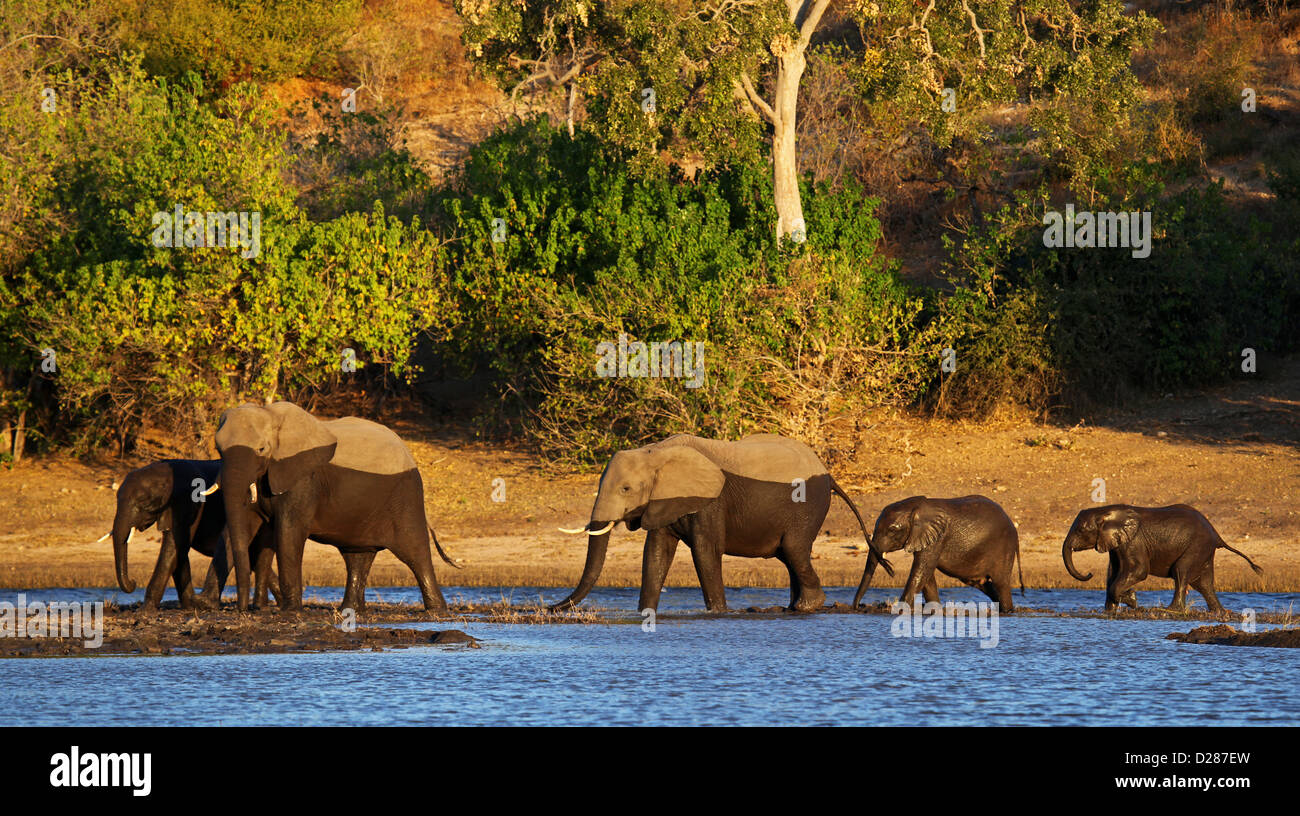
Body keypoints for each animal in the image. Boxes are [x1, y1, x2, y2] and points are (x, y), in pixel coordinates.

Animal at [105, 459, 279, 610]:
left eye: (143, 503)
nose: (133, 582)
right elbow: (178, 550)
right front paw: (189, 606)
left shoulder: (188, 503)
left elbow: (175, 546)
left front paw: (145, 610)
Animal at [212, 401, 458, 612]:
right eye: (218, 450)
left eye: (262, 449)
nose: (242, 609)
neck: (271, 415)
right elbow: (251, 528)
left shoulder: (304, 477)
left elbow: (288, 532)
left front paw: (290, 611)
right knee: (357, 556)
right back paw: (350, 610)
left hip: (405, 494)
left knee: (415, 551)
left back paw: (437, 610)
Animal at [549, 433, 889, 613]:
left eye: (625, 489)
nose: (551, 608)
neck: (655, 452)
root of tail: (829, 475)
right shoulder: (664, 500)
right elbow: (656, 554)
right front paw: (646, 614)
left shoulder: (710, 501)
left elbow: (705, 552)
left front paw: (719, 613)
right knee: (791, 555)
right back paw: (794, 607)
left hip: (808, 505)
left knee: (794, 550)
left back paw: (809, 606)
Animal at [852, 495, 1024, 613]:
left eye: (892, 530)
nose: (858, 607)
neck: (917, 507)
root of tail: (1014, 528)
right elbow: (926, 576)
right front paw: (935, 610)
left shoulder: (937, 539)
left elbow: (921, 571)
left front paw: (901, 610)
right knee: (980, 583)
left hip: (1004, 547)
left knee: (1000, 582)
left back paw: (1007, 611)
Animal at [1062, 504, 1263, 613]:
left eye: (1081, 530)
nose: (1089, 573)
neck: (1106, 511)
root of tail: (1217, 534)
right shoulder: (1117, 543)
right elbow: (1112, 572)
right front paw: (1111, 610)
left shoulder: (1134, 541)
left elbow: (1138, 571)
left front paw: (1131, 600)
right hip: (1203, 551)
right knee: (1203, 583)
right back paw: (1218, 612)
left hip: (1197, 546)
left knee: (1181, 572)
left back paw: (1170, 610)